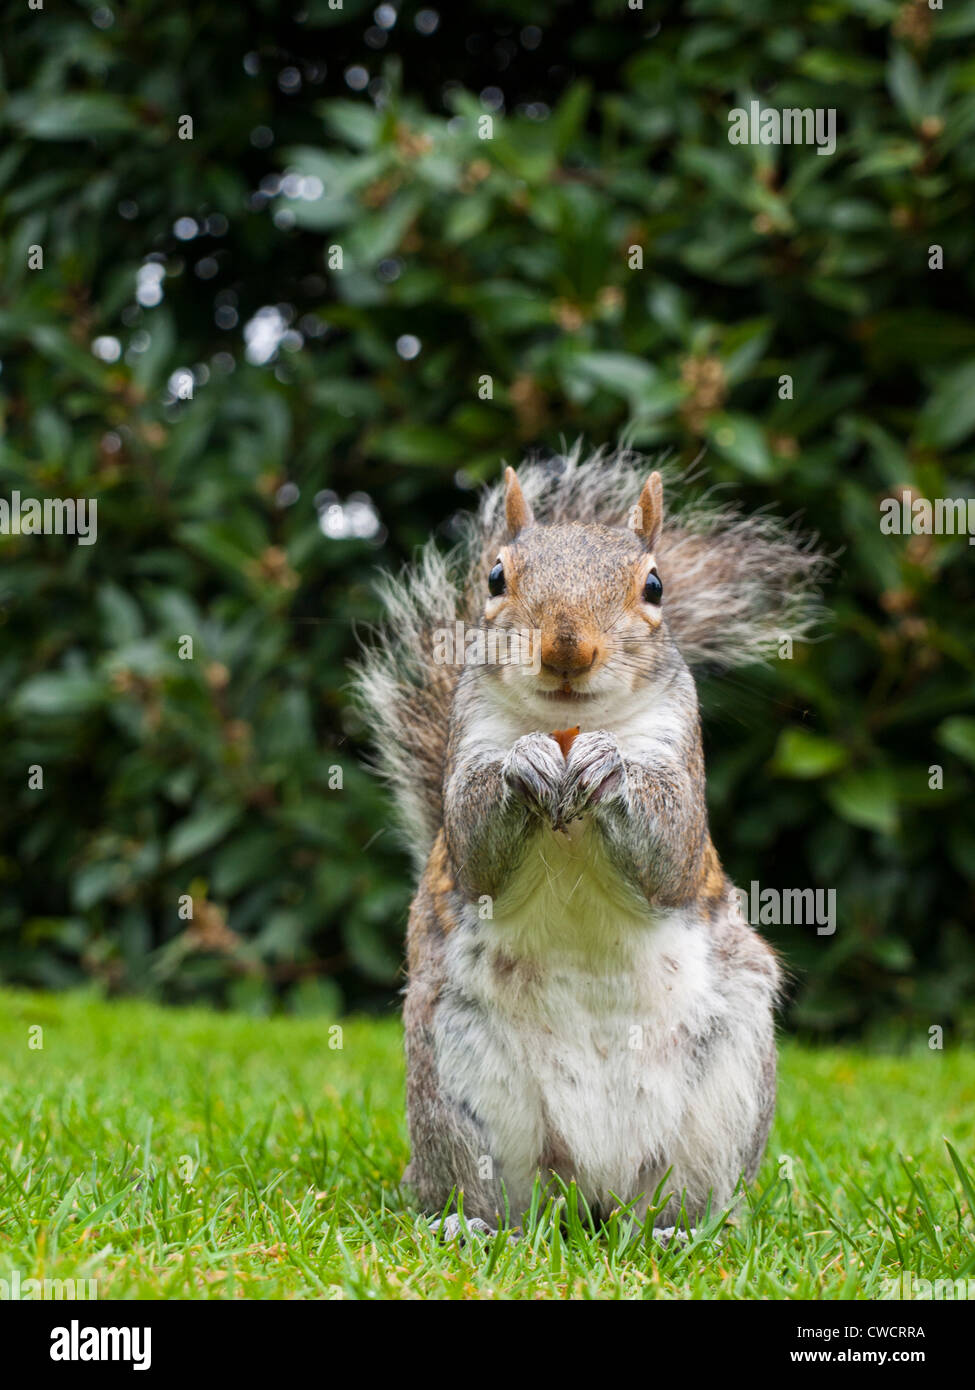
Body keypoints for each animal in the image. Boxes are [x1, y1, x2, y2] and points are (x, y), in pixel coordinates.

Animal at [353, 447, 824, 1238]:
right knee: (488, 1195)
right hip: (456, 1085)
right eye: (495, 578)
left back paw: (681, 1233)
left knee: (685, 1195)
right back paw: (467, 1226)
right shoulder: (468, 753)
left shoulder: (678, 765)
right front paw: (524, 764)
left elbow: (670, 848)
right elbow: (474, 844)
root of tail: (591, 1195)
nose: (567, 648)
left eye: (655, 585)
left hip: (724, 1090)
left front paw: (612, 766)